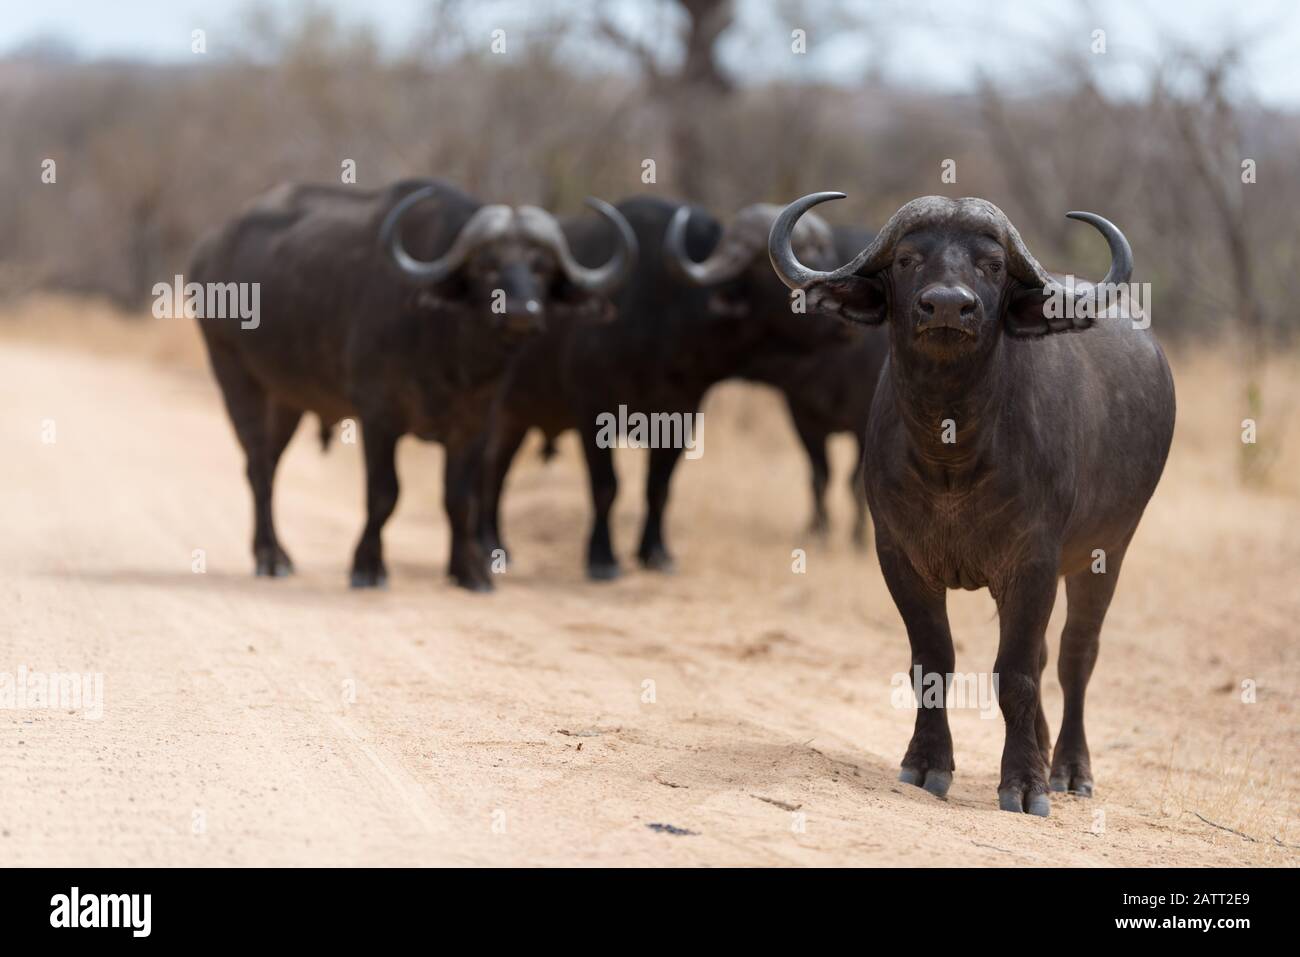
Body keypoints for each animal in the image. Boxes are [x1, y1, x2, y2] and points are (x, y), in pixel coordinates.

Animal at [190, 178, 635, 591]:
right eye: (486, 265)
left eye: (541, 267)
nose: (521, 313)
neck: (453, 354)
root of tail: (209, 252)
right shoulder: (378, 417)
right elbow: (384, 493)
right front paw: (367, 567)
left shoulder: (476, 424)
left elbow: (460, 498)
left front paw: (470, 571)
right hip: (235, 374)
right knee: (257, 465)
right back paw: (269, 557)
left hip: (287, 399)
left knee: (270, 463)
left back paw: (279, 553)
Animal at [770, 193, 1175, 815]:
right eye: (907, 259)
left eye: (992, 265)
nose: (947, 307)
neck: (951, 453)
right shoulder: (899, 556)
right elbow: (933, 661)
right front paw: (926, 764)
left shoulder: (1033, 562)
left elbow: (1016, 674)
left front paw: (1026, 785)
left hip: (1107, 550)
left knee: (1074, 656)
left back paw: (1068, 769)